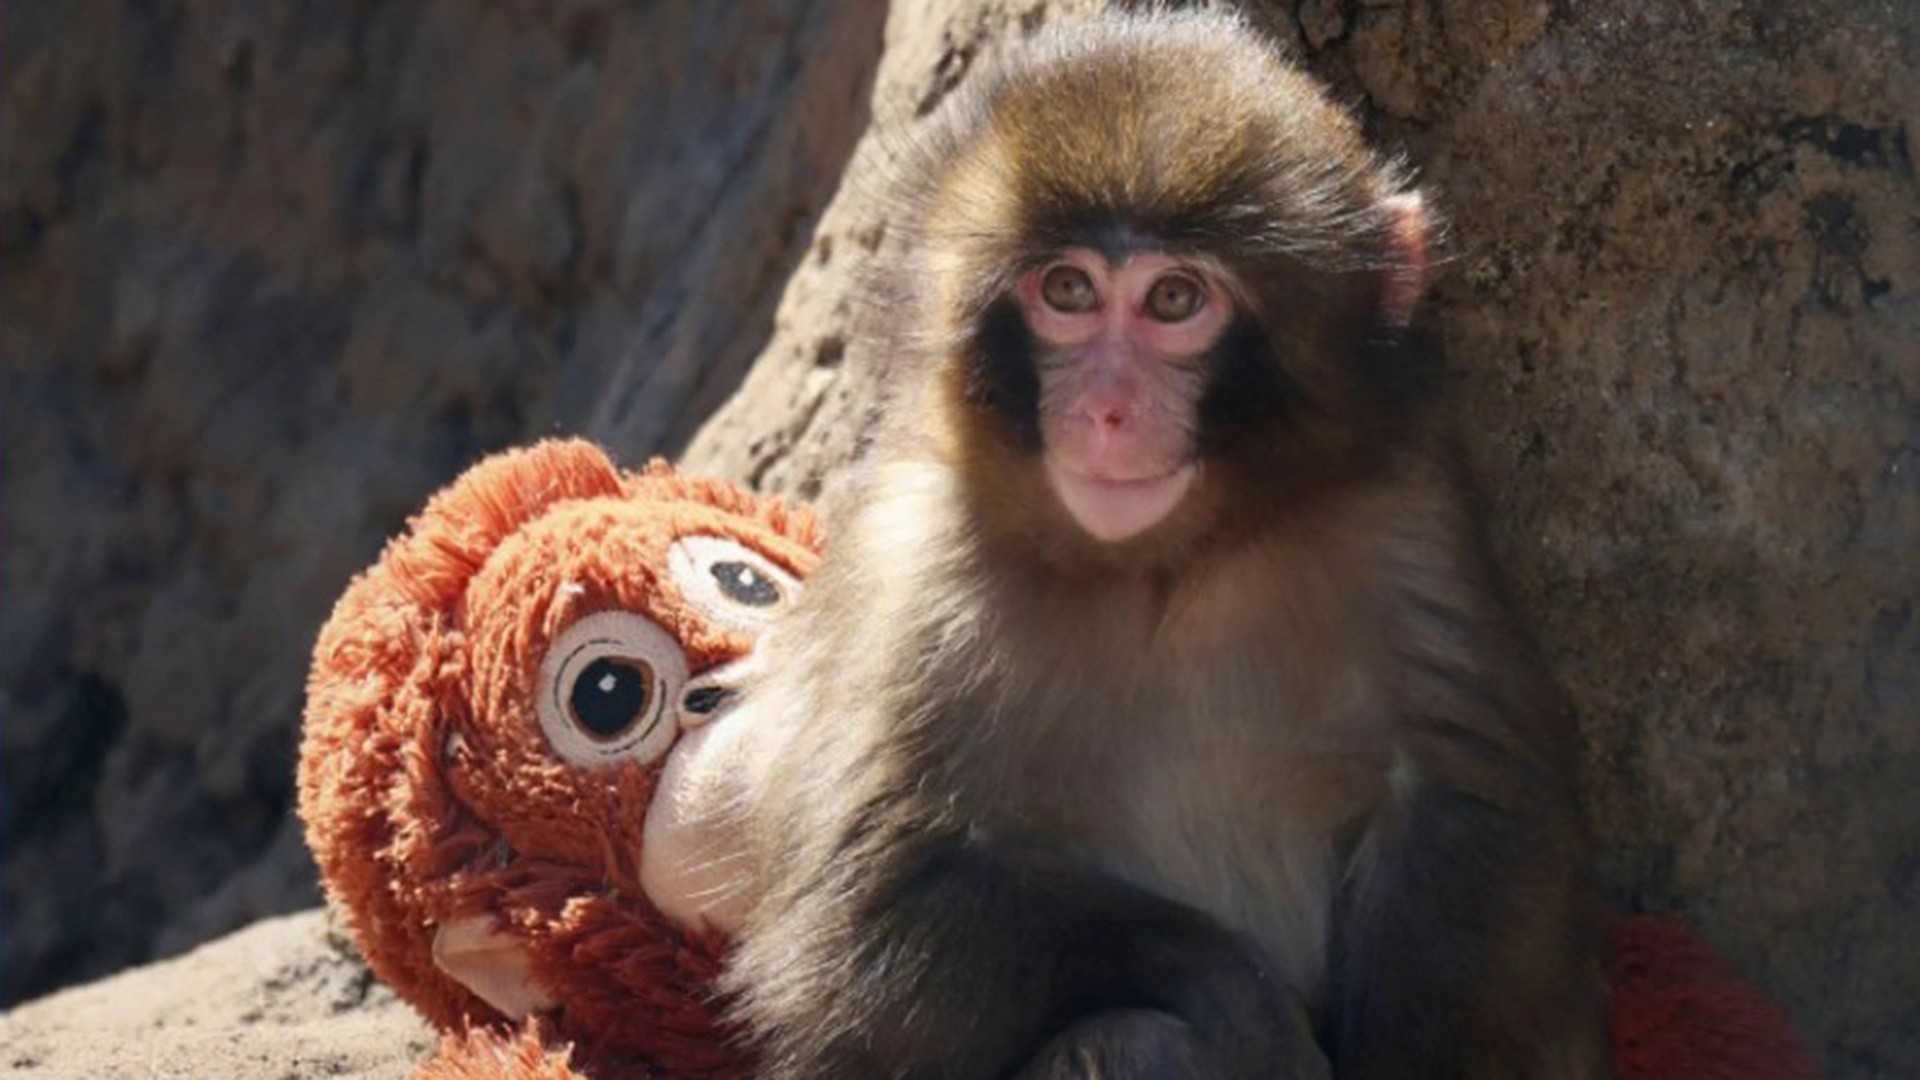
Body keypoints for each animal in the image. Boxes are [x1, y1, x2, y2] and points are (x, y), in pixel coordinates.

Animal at [642, 10, 1609, 1079]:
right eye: (1067, 289)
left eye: (1175, 301)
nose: (1106, 411)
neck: (1165, 565)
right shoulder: (916, 565)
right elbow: (863, 923)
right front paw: (1241, 1000)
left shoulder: (1401, 513)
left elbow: (1470, 810)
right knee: (1130, 1038)